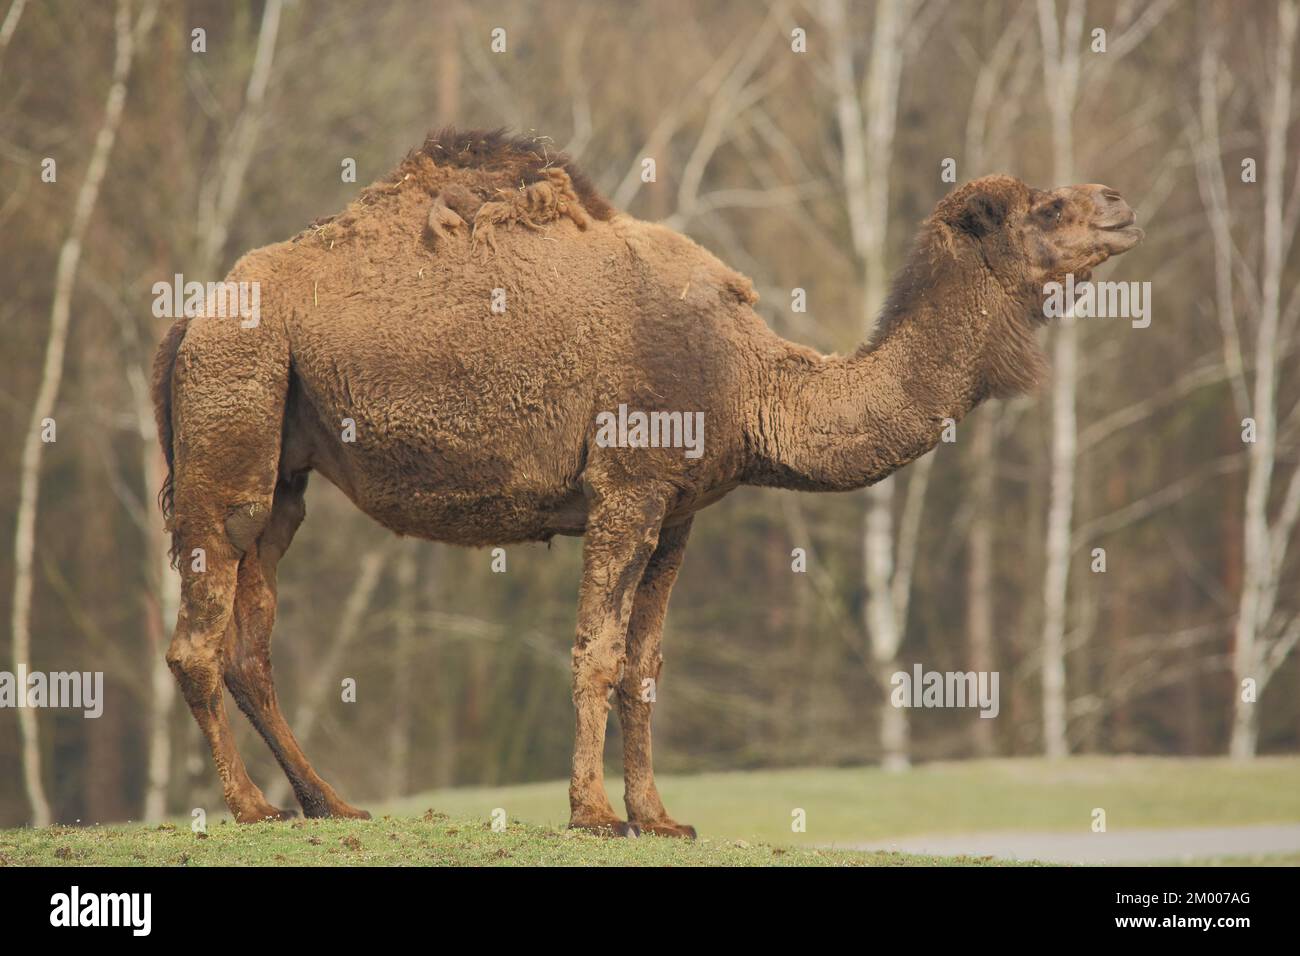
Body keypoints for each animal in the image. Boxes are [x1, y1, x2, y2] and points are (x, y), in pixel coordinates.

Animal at [152, 128, 1142, 837]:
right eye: (1048, 207)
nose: (1121, 203)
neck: (749, 380)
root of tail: (193, 319)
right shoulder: (627, 485)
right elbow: (595, 649)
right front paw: (592, 814)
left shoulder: (681, 510)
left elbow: (645, 664)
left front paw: (660, 816)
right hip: (234, 406)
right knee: (200, 631)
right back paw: (251, 808)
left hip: (285, 463)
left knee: (252, 636)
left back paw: (330, 804)